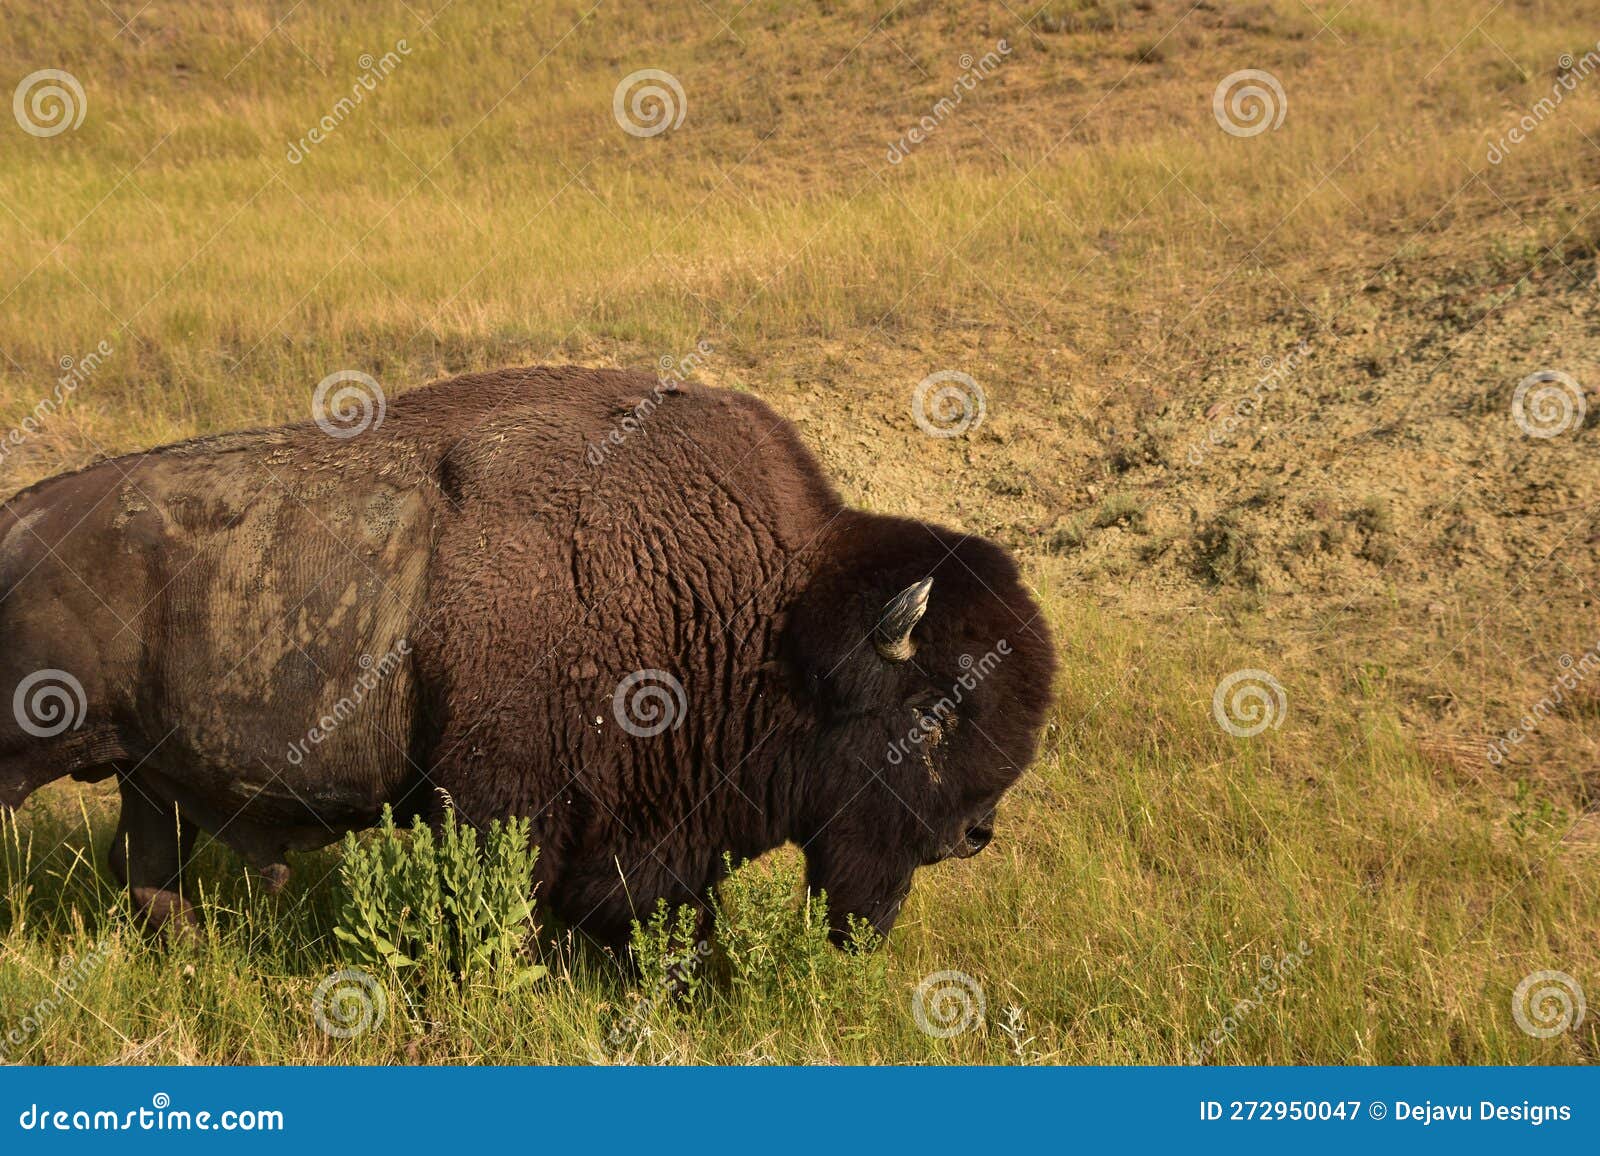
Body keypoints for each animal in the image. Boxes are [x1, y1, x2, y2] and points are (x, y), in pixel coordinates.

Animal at [0, 366, 1055, 948]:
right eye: (933, 708)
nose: (975, 831)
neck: (770, 617)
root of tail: (20, 515)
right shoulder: (497, 800)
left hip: (146, 776)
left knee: (147, 878)